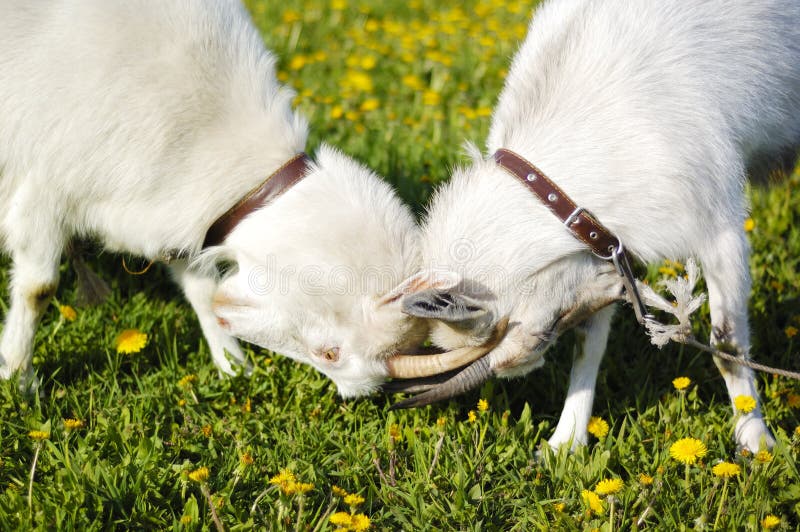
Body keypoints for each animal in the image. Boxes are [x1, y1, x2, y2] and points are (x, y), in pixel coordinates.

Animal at [0, 0, 426, 397]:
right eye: (329, 353)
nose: (350, 396)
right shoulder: (43, 190)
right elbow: (38, 289)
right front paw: (19, 378)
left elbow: (202, 290)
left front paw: (233, 366)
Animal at [392, 0, 800, 451]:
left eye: (540, 337)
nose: (619, 288)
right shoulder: (601, 252)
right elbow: (589, 344)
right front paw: (565, 444)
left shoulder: (719, 226)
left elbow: (726, 341)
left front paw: (756, 441)